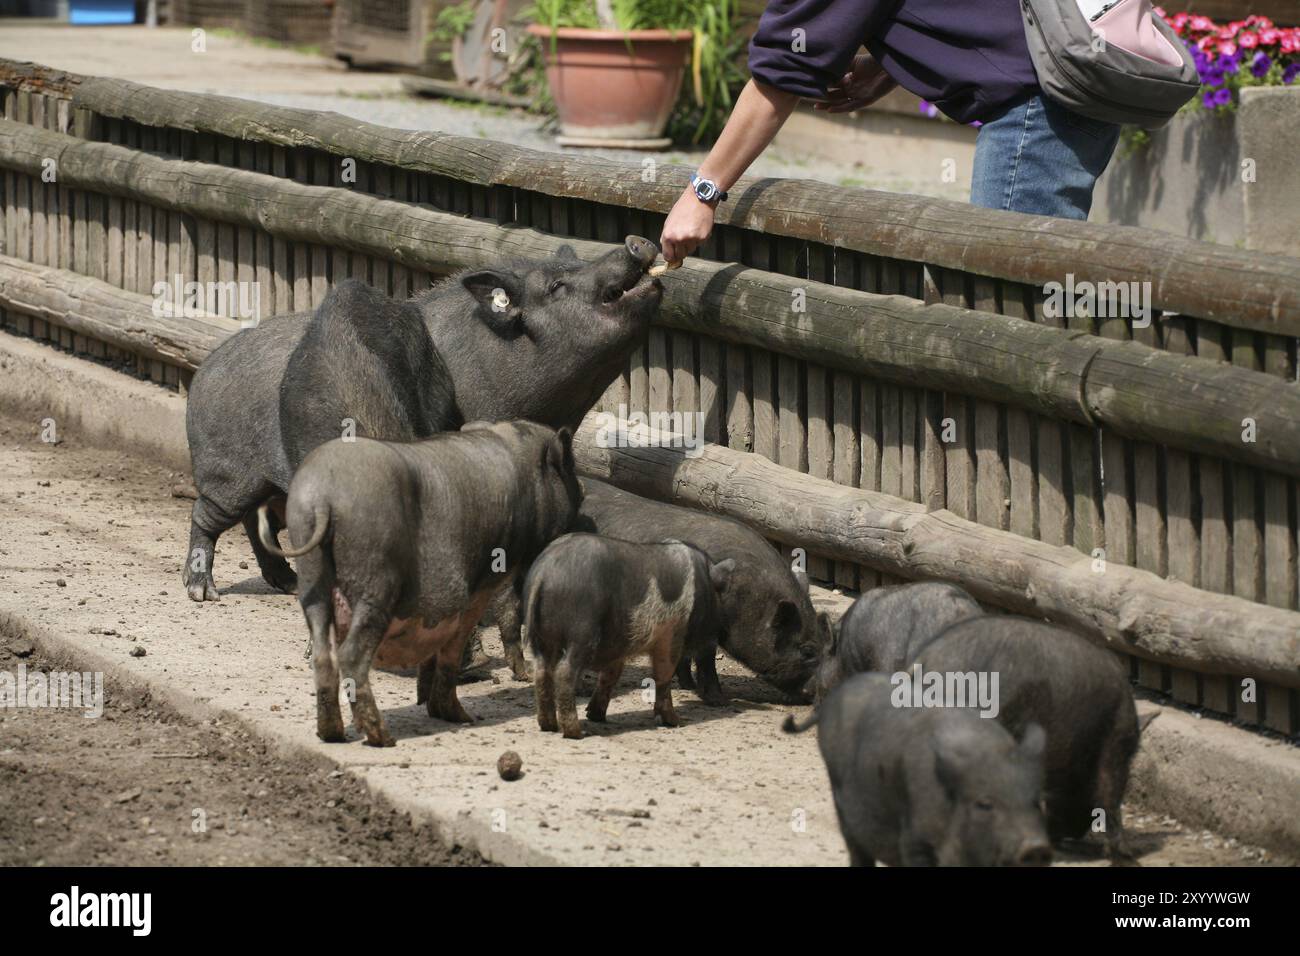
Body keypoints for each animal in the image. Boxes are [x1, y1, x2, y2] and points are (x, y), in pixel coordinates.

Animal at [184, 236, 660, 601]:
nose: (635, 242)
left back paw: (283, 583)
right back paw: (203, 592)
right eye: (557, 285)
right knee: (207, 515)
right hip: (227, 473)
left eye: (576, 263)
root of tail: (206, 366)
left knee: (256, 520)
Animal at [256, 421, 582, 747]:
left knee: (324, 654)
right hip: (374, 577)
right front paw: (462, 715)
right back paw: (383, 738)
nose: (581, 496)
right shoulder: (485, 579)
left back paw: (332, 734)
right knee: (351, 655)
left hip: (311, 572)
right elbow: (457, 642)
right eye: (568, 471)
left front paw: (426, 702)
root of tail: (324, 496)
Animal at [491, 479, 831, 702]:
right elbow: (705, 656)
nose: (817, 693)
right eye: (807, 650)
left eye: (828, 647)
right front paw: (716, 698)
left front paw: (687, 686)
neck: (748, 596)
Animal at [523, 533, 734, 739]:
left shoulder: (618, 645)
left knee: (541, 671)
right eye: (719, 599)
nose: (719, 633)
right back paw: (577, 733)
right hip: (581, 631)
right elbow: (663, 674)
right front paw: (676, 722)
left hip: (544, 638)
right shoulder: (670, 634)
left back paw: (549, 726)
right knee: (564, 672)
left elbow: (611, 675)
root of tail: (544, 572)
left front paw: (595, 715)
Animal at [784, 673, 1052, 867]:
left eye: (1037, 803)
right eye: (984, 803)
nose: (1036, 848)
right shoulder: (915, 840)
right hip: (841, 798)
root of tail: (833, 698)